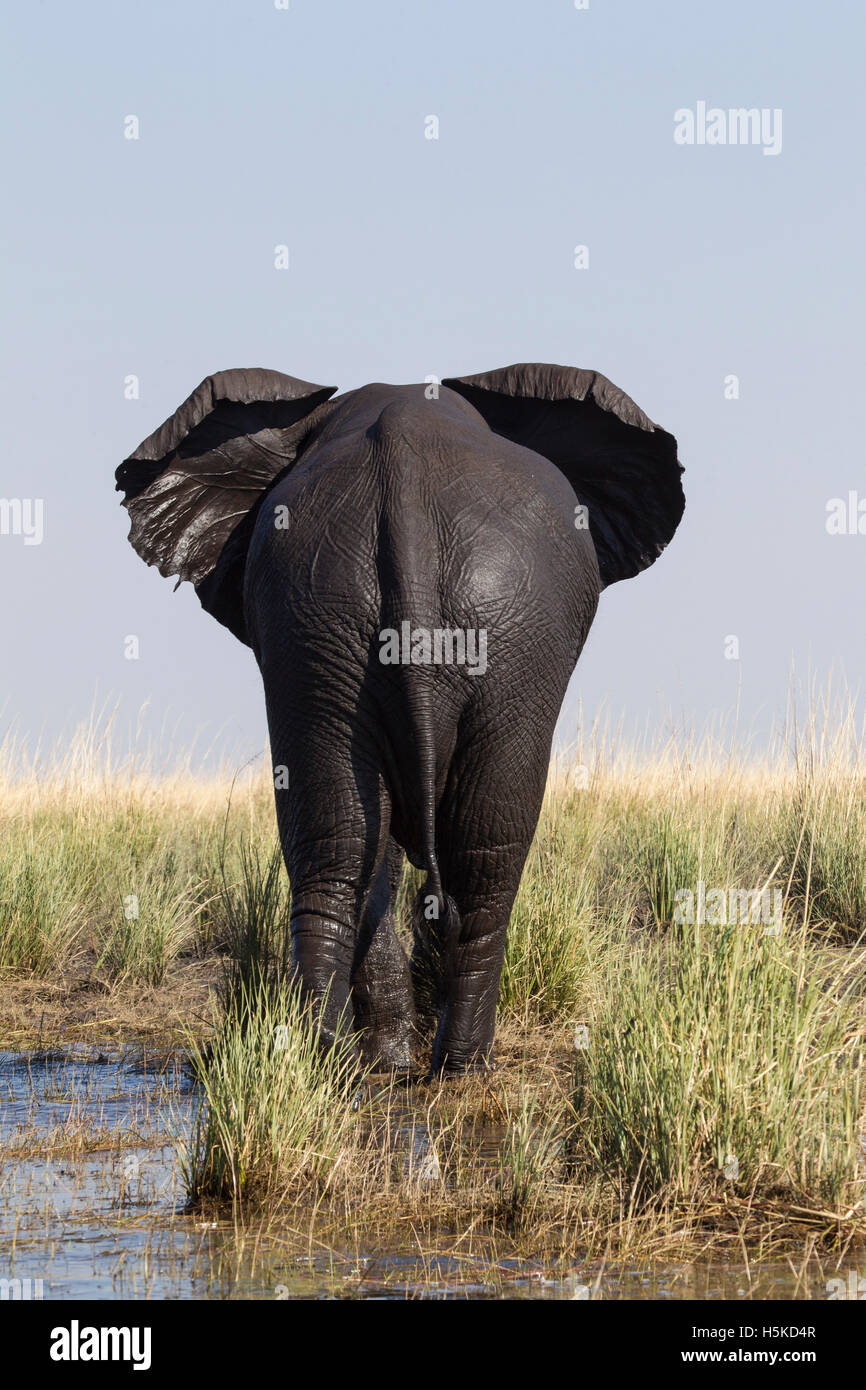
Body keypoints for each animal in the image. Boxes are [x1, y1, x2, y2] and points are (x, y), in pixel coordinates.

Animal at [116, 363, 684, 1074]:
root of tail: (403, 479)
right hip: (460, 630)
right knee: (469, 855)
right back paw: (446, 1064)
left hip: (336, 618)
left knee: (349, 844)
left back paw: (348, 1061)